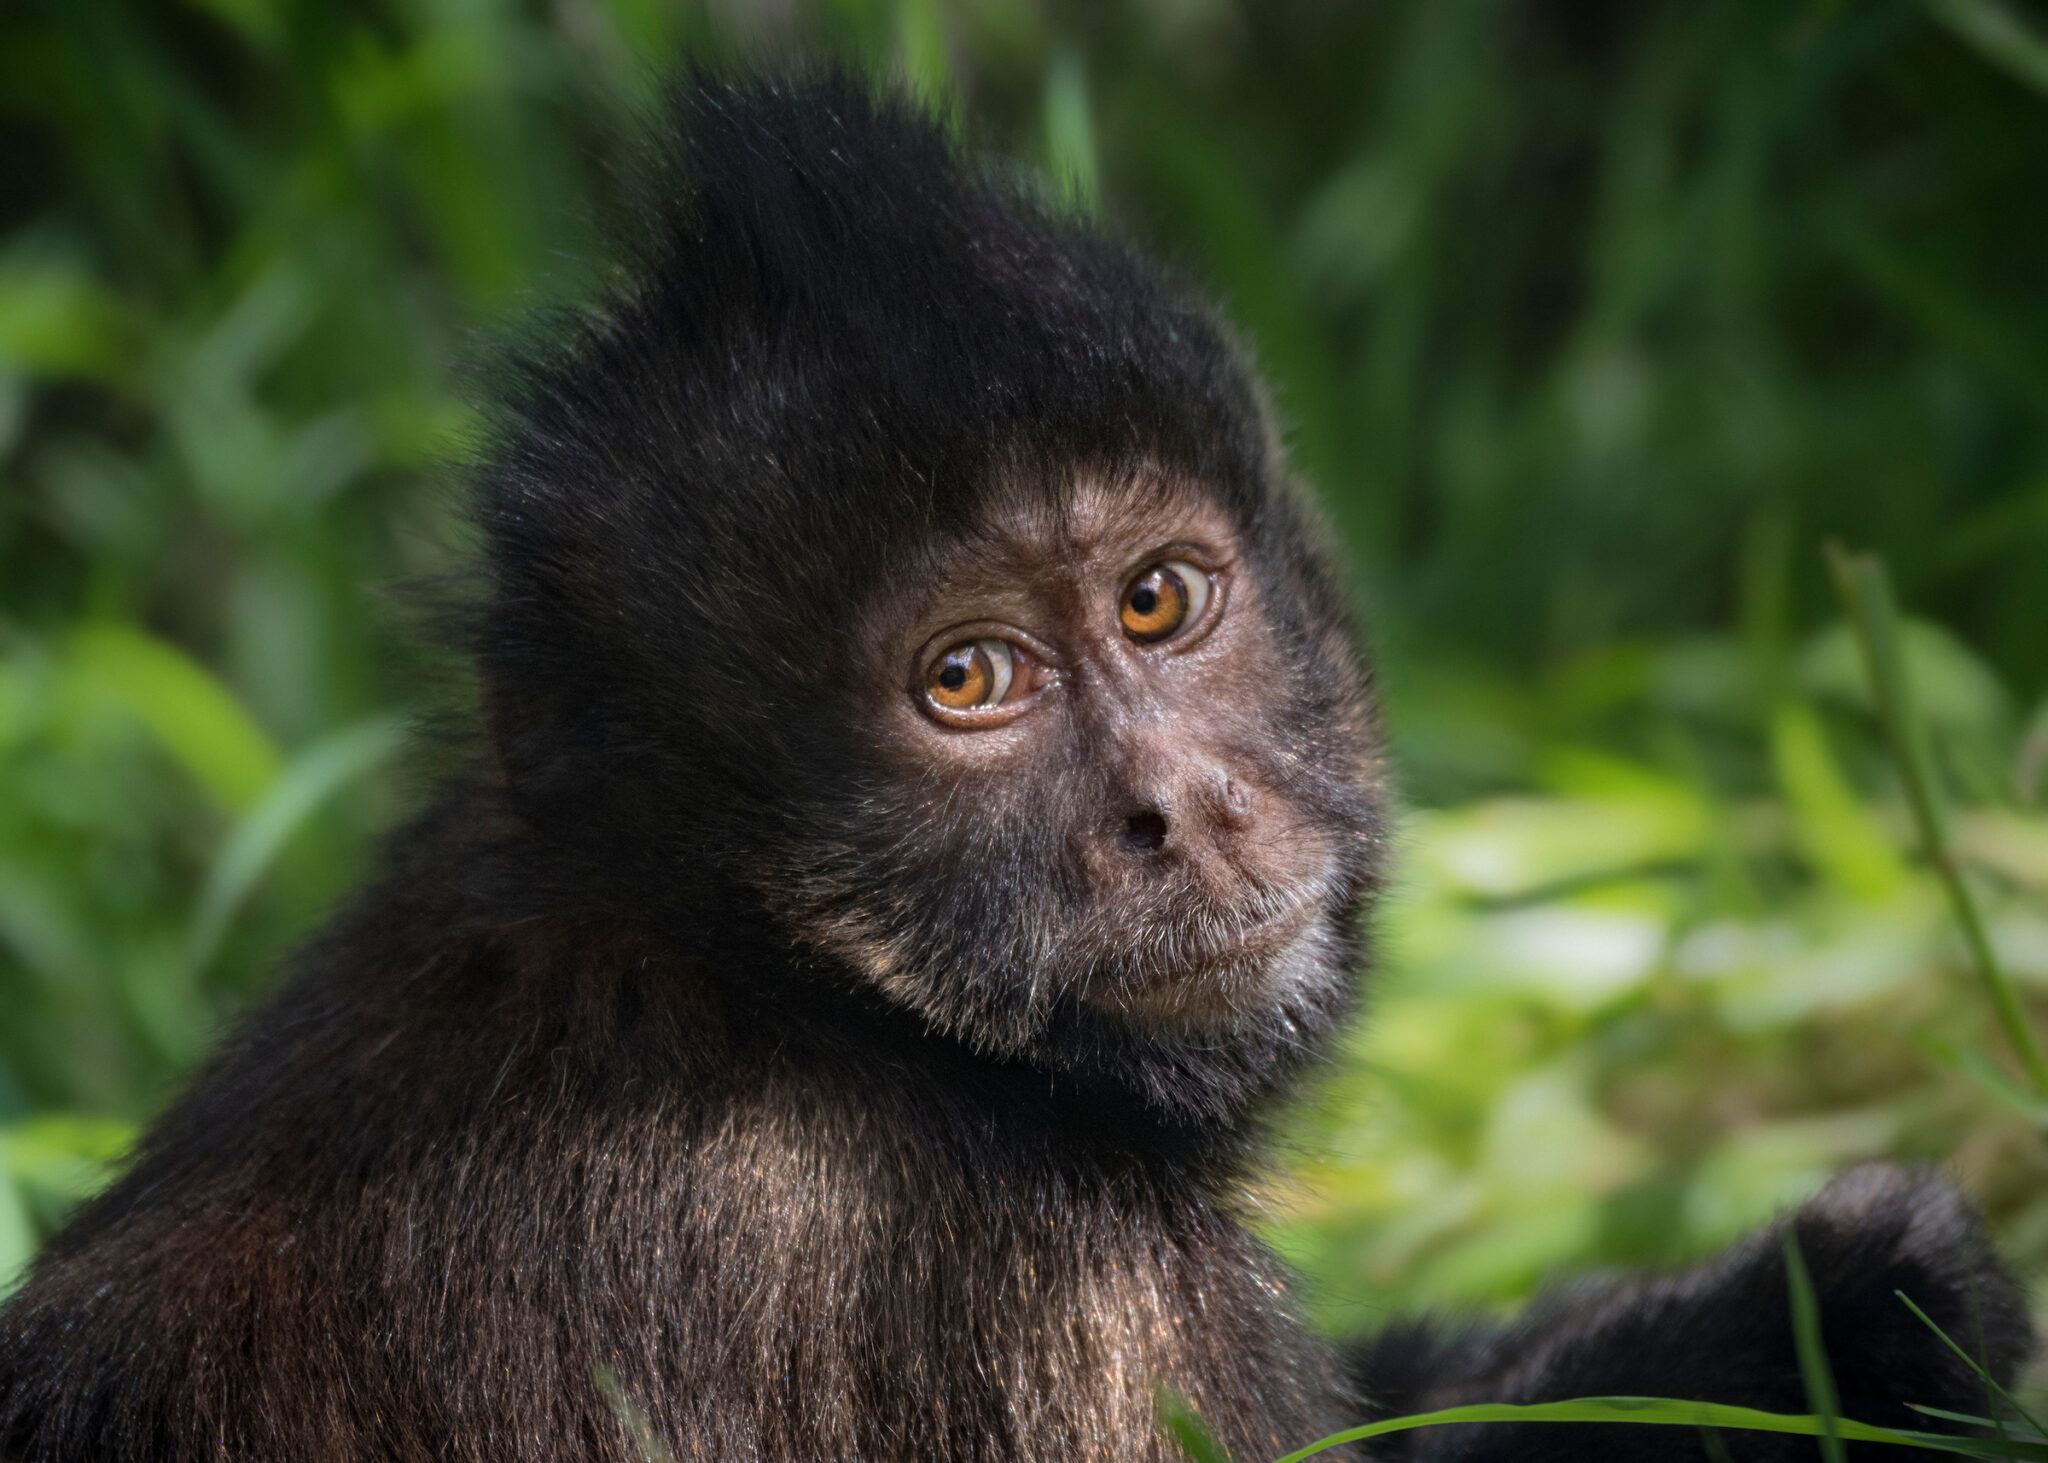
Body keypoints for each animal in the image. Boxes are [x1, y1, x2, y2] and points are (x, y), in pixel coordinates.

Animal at [0, 73, 2029, 1463]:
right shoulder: (1049, 1288)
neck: (754, 973)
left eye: (1157, 600)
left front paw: (1827, 1314)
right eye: (967, 678)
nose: (1178, 808)